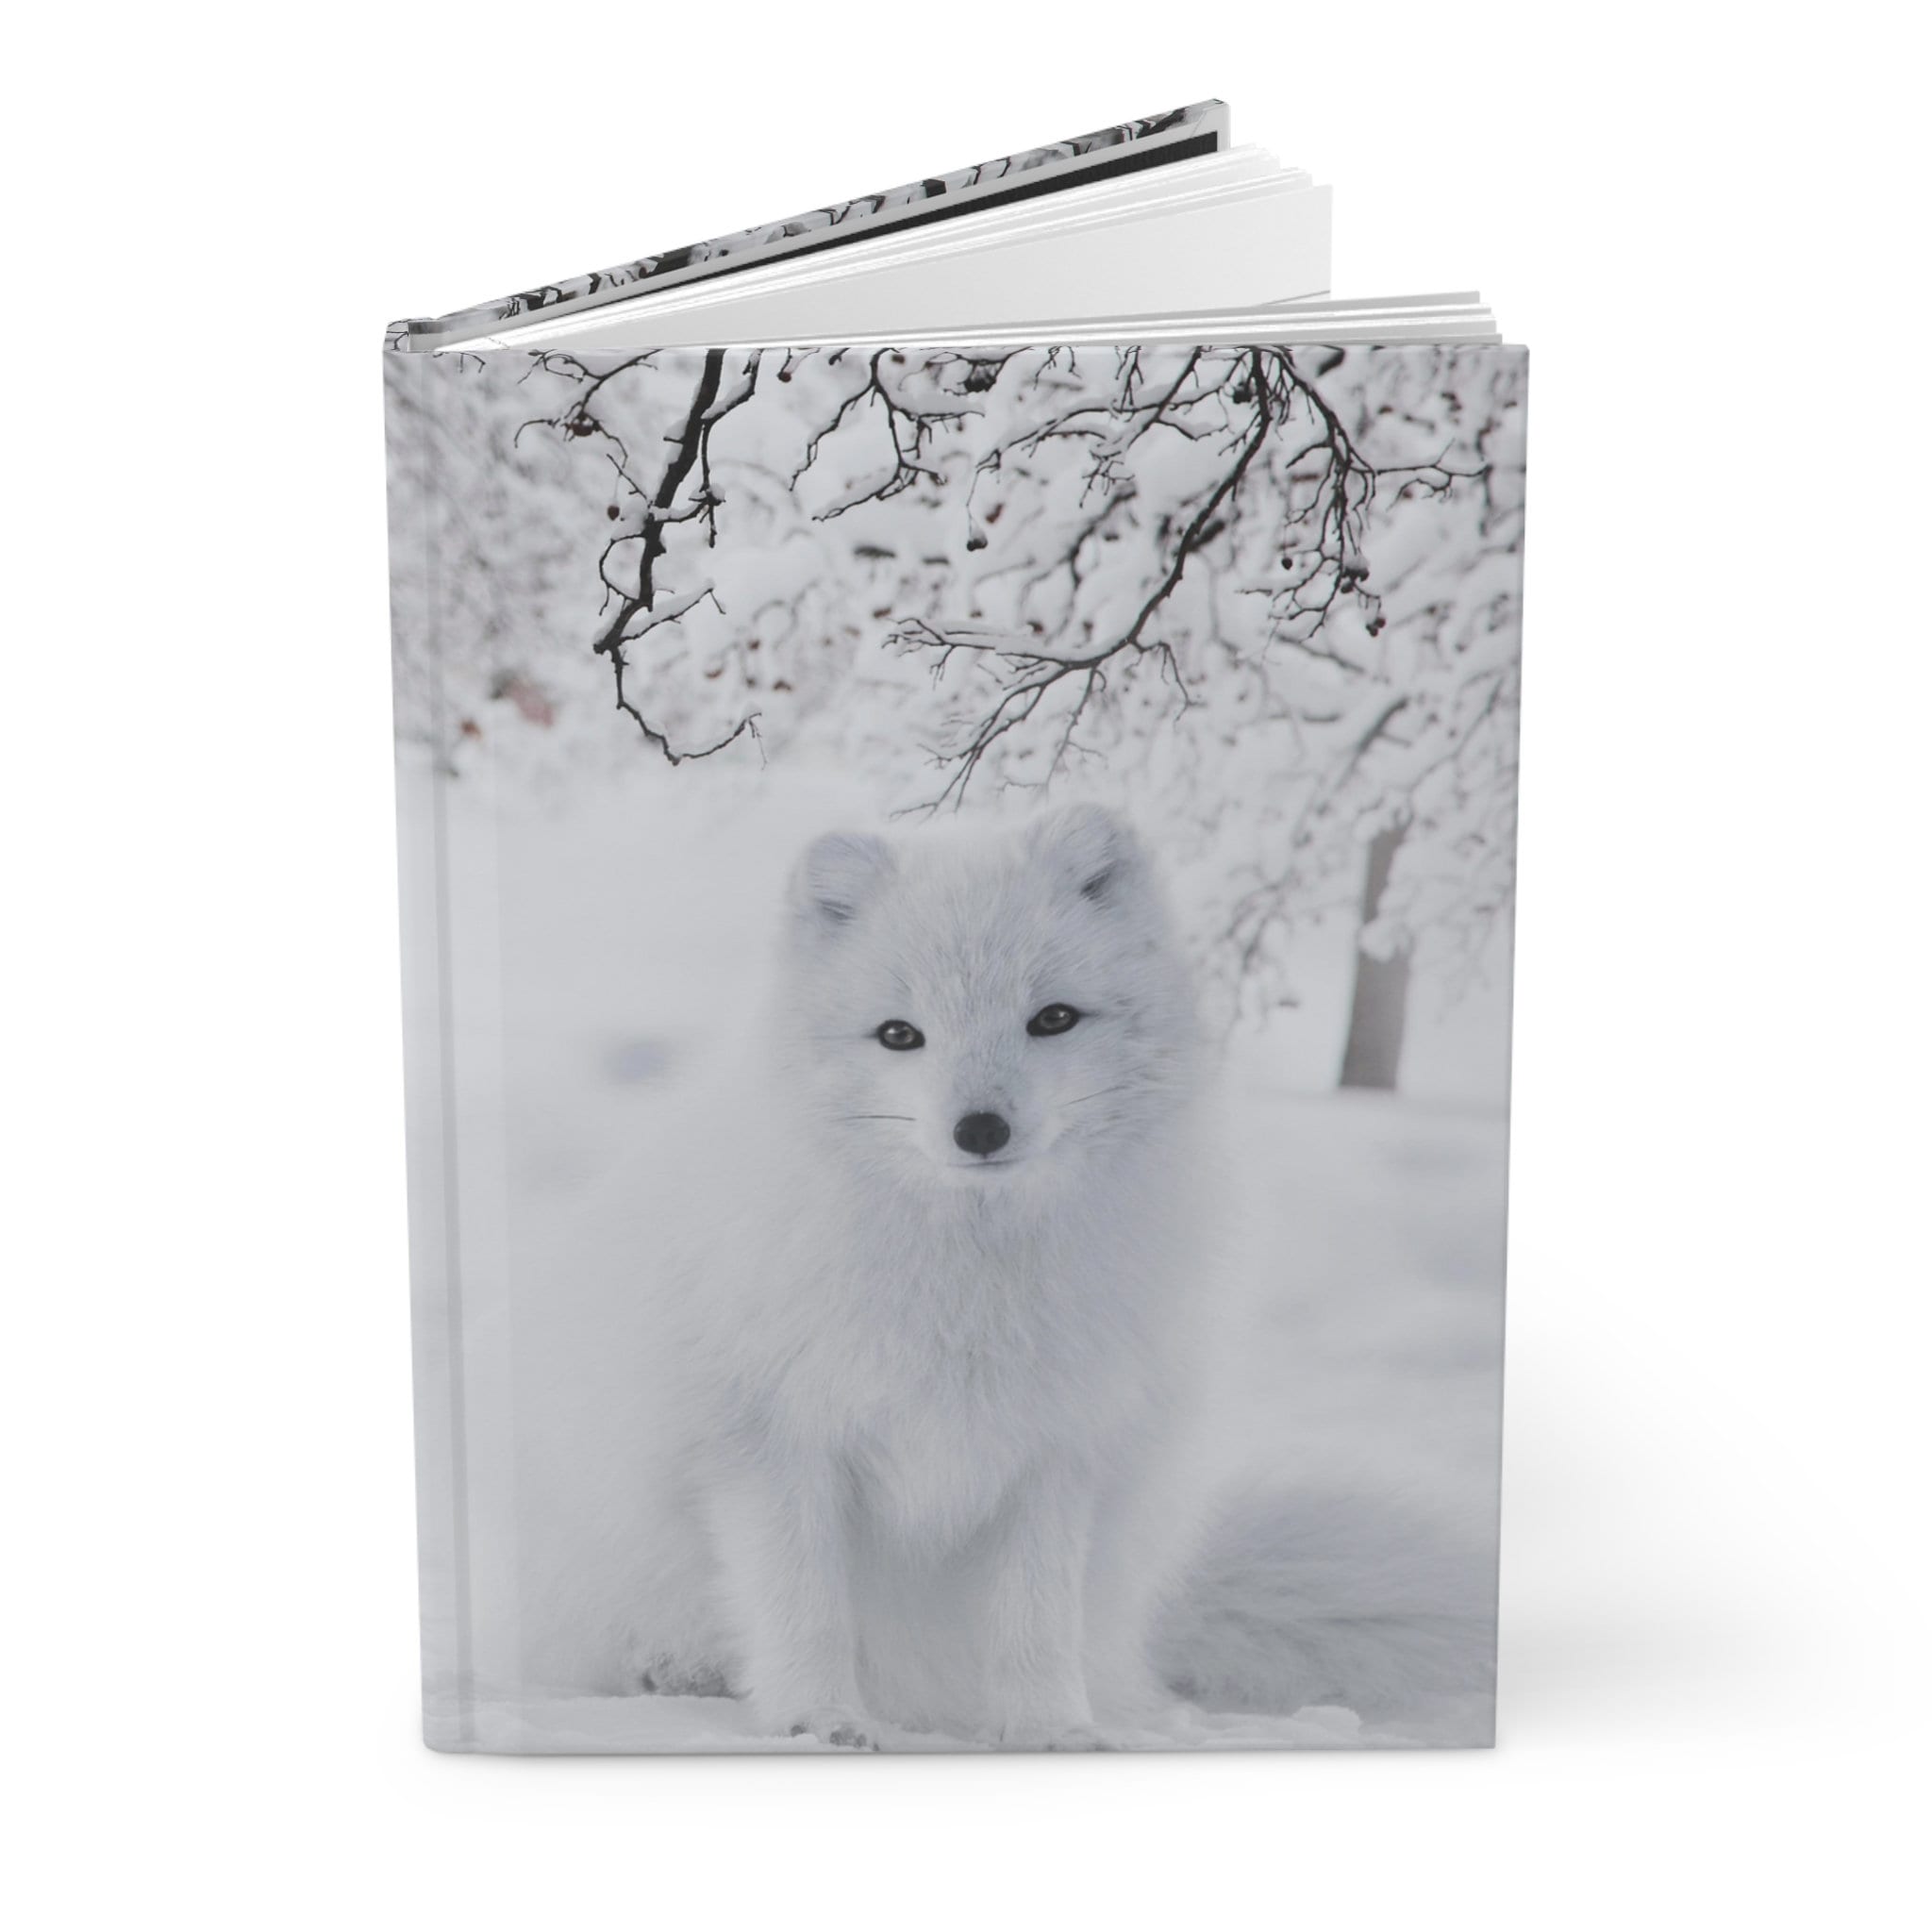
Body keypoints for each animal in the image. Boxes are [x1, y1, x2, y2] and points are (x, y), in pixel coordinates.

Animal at [512, 803, 1494, 1748]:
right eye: (899, 1035)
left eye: (1052, 1018)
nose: (980, 1129)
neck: (969, 1283)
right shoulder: (768, 1442)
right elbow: (804, 1607)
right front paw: (817, 1720)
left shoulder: (1057, 1452)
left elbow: (1035, 1620)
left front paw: (1051, 1729)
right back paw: (673, 1671)